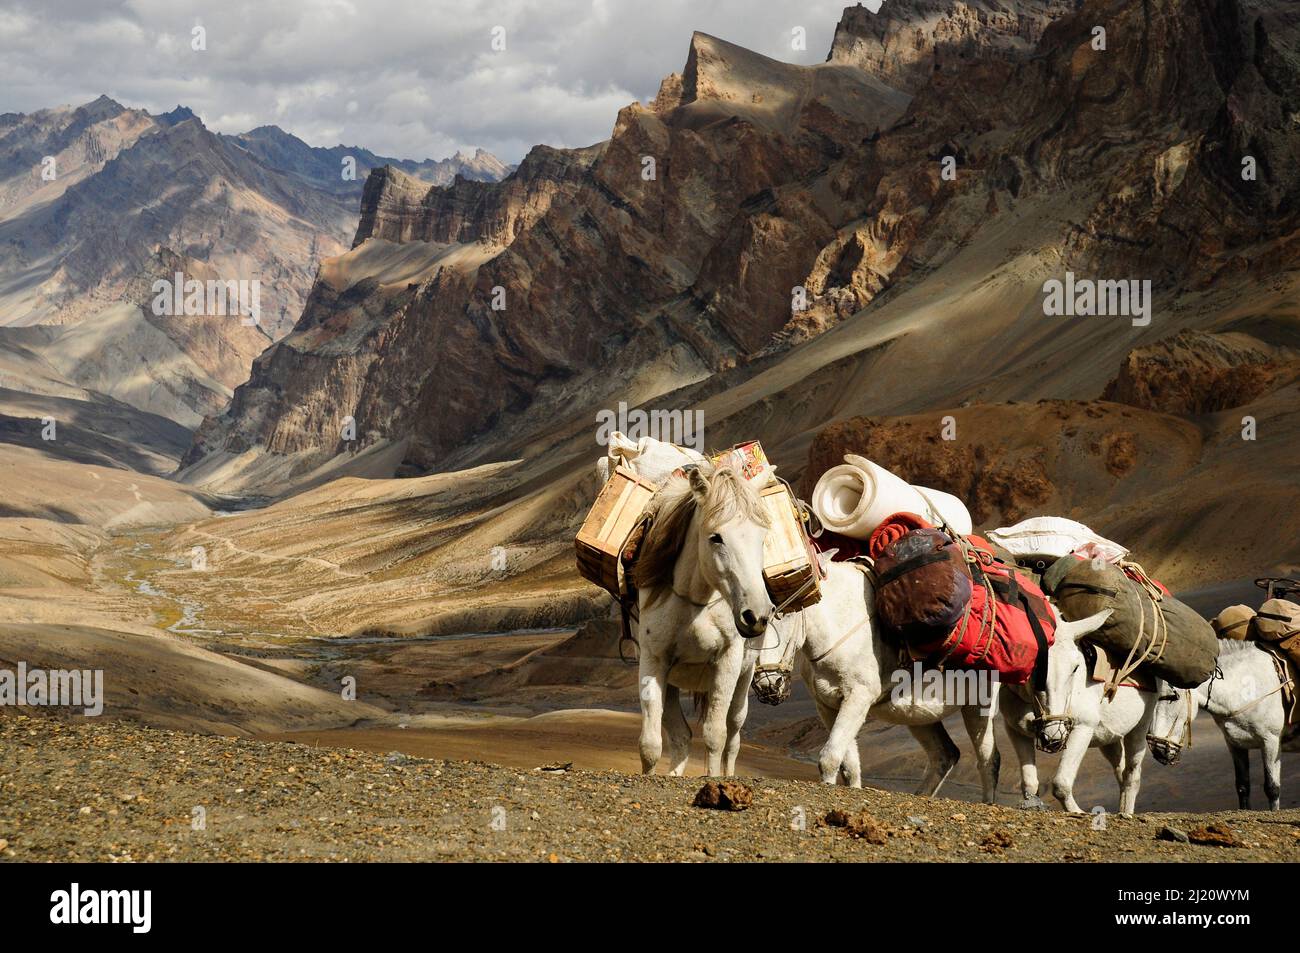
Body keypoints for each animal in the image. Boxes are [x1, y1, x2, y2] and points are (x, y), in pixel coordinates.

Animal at [630, 464, 778, 777]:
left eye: (762, 537)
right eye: (716, 537)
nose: (757, 615)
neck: (695, 602)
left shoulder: (727, 660)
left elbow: (715, 735)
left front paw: (714, 779)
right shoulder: (653, 659)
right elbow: (650, 742)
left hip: (744, 678)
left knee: (732, 734)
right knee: (680, 734)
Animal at [748, 560, 1004, 801]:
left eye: (784, 615)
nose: (768, 685)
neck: (842, 625)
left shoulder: (858, 699)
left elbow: (829, 758)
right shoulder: (828, 706)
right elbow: (849, 765)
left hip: (978, 706)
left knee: (989, 759)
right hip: (918, 715)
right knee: (945, 755)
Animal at [1001, 609, 1158, 816]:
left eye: (1076, 668)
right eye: (1035, 666)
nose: (1053, 737)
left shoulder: (1083, 727)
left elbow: (1061, 784)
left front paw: (1078, 812)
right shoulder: (1015, 730)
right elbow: (1029, 784)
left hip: (1140, 727)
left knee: (1132, 775)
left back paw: (1126, 813)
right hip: (1109, 738)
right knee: (1121, 770)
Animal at [1148, 638, 1294, 810]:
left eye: (1174, 697)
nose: (1157, 750)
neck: (1246, 689)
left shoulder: (1271, 742)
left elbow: (1272, 788)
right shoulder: (1235, 744)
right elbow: (1243, 787)